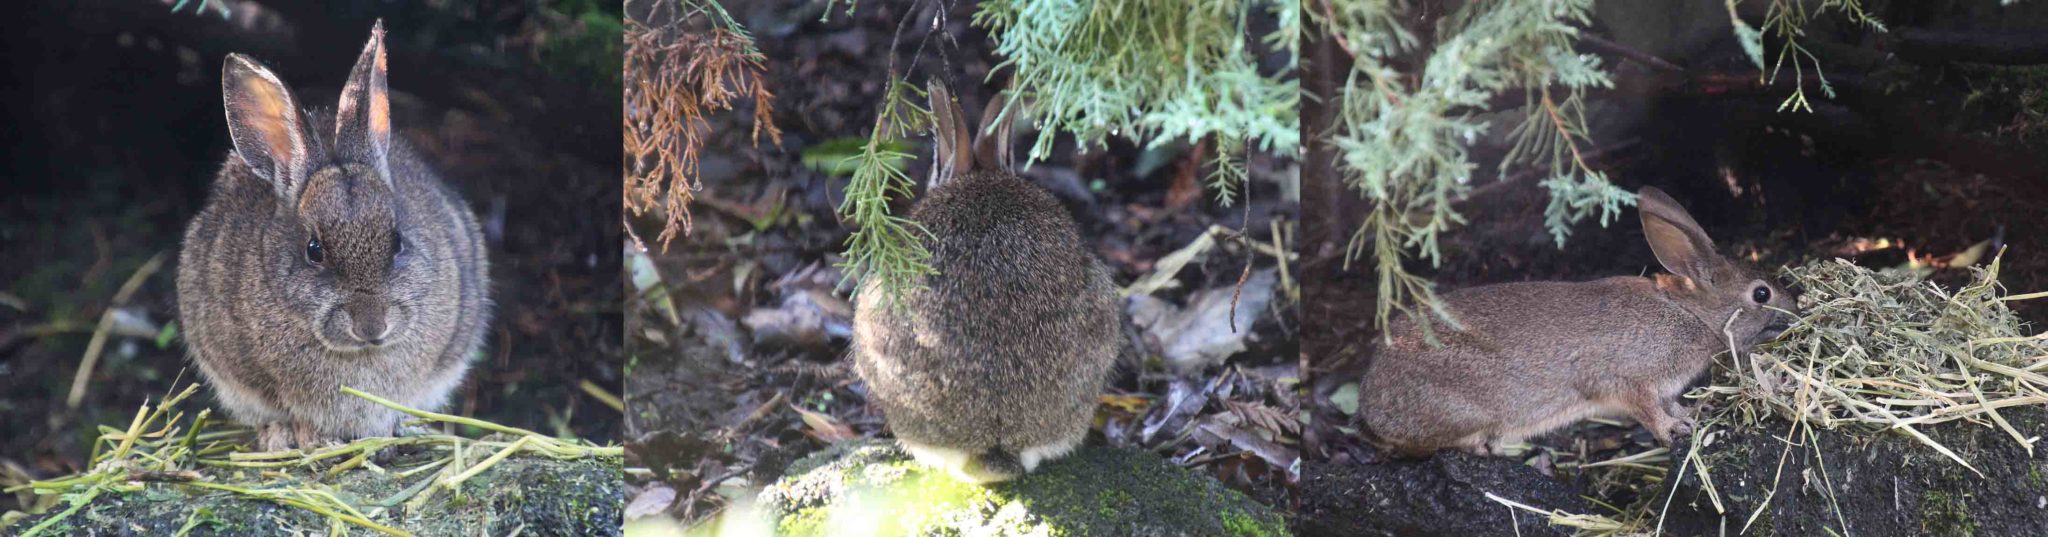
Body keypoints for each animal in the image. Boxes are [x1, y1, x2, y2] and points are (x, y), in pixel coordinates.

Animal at [1357, 187, 1796, 457]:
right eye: (1761, 294)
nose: (1796, 307)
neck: (1691, 313)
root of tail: (1370, 402)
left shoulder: (1663, 387)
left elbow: (1671, 403)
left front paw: (1689, 418)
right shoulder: (1629, 380)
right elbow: (1647, 411)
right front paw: (1674, 432)